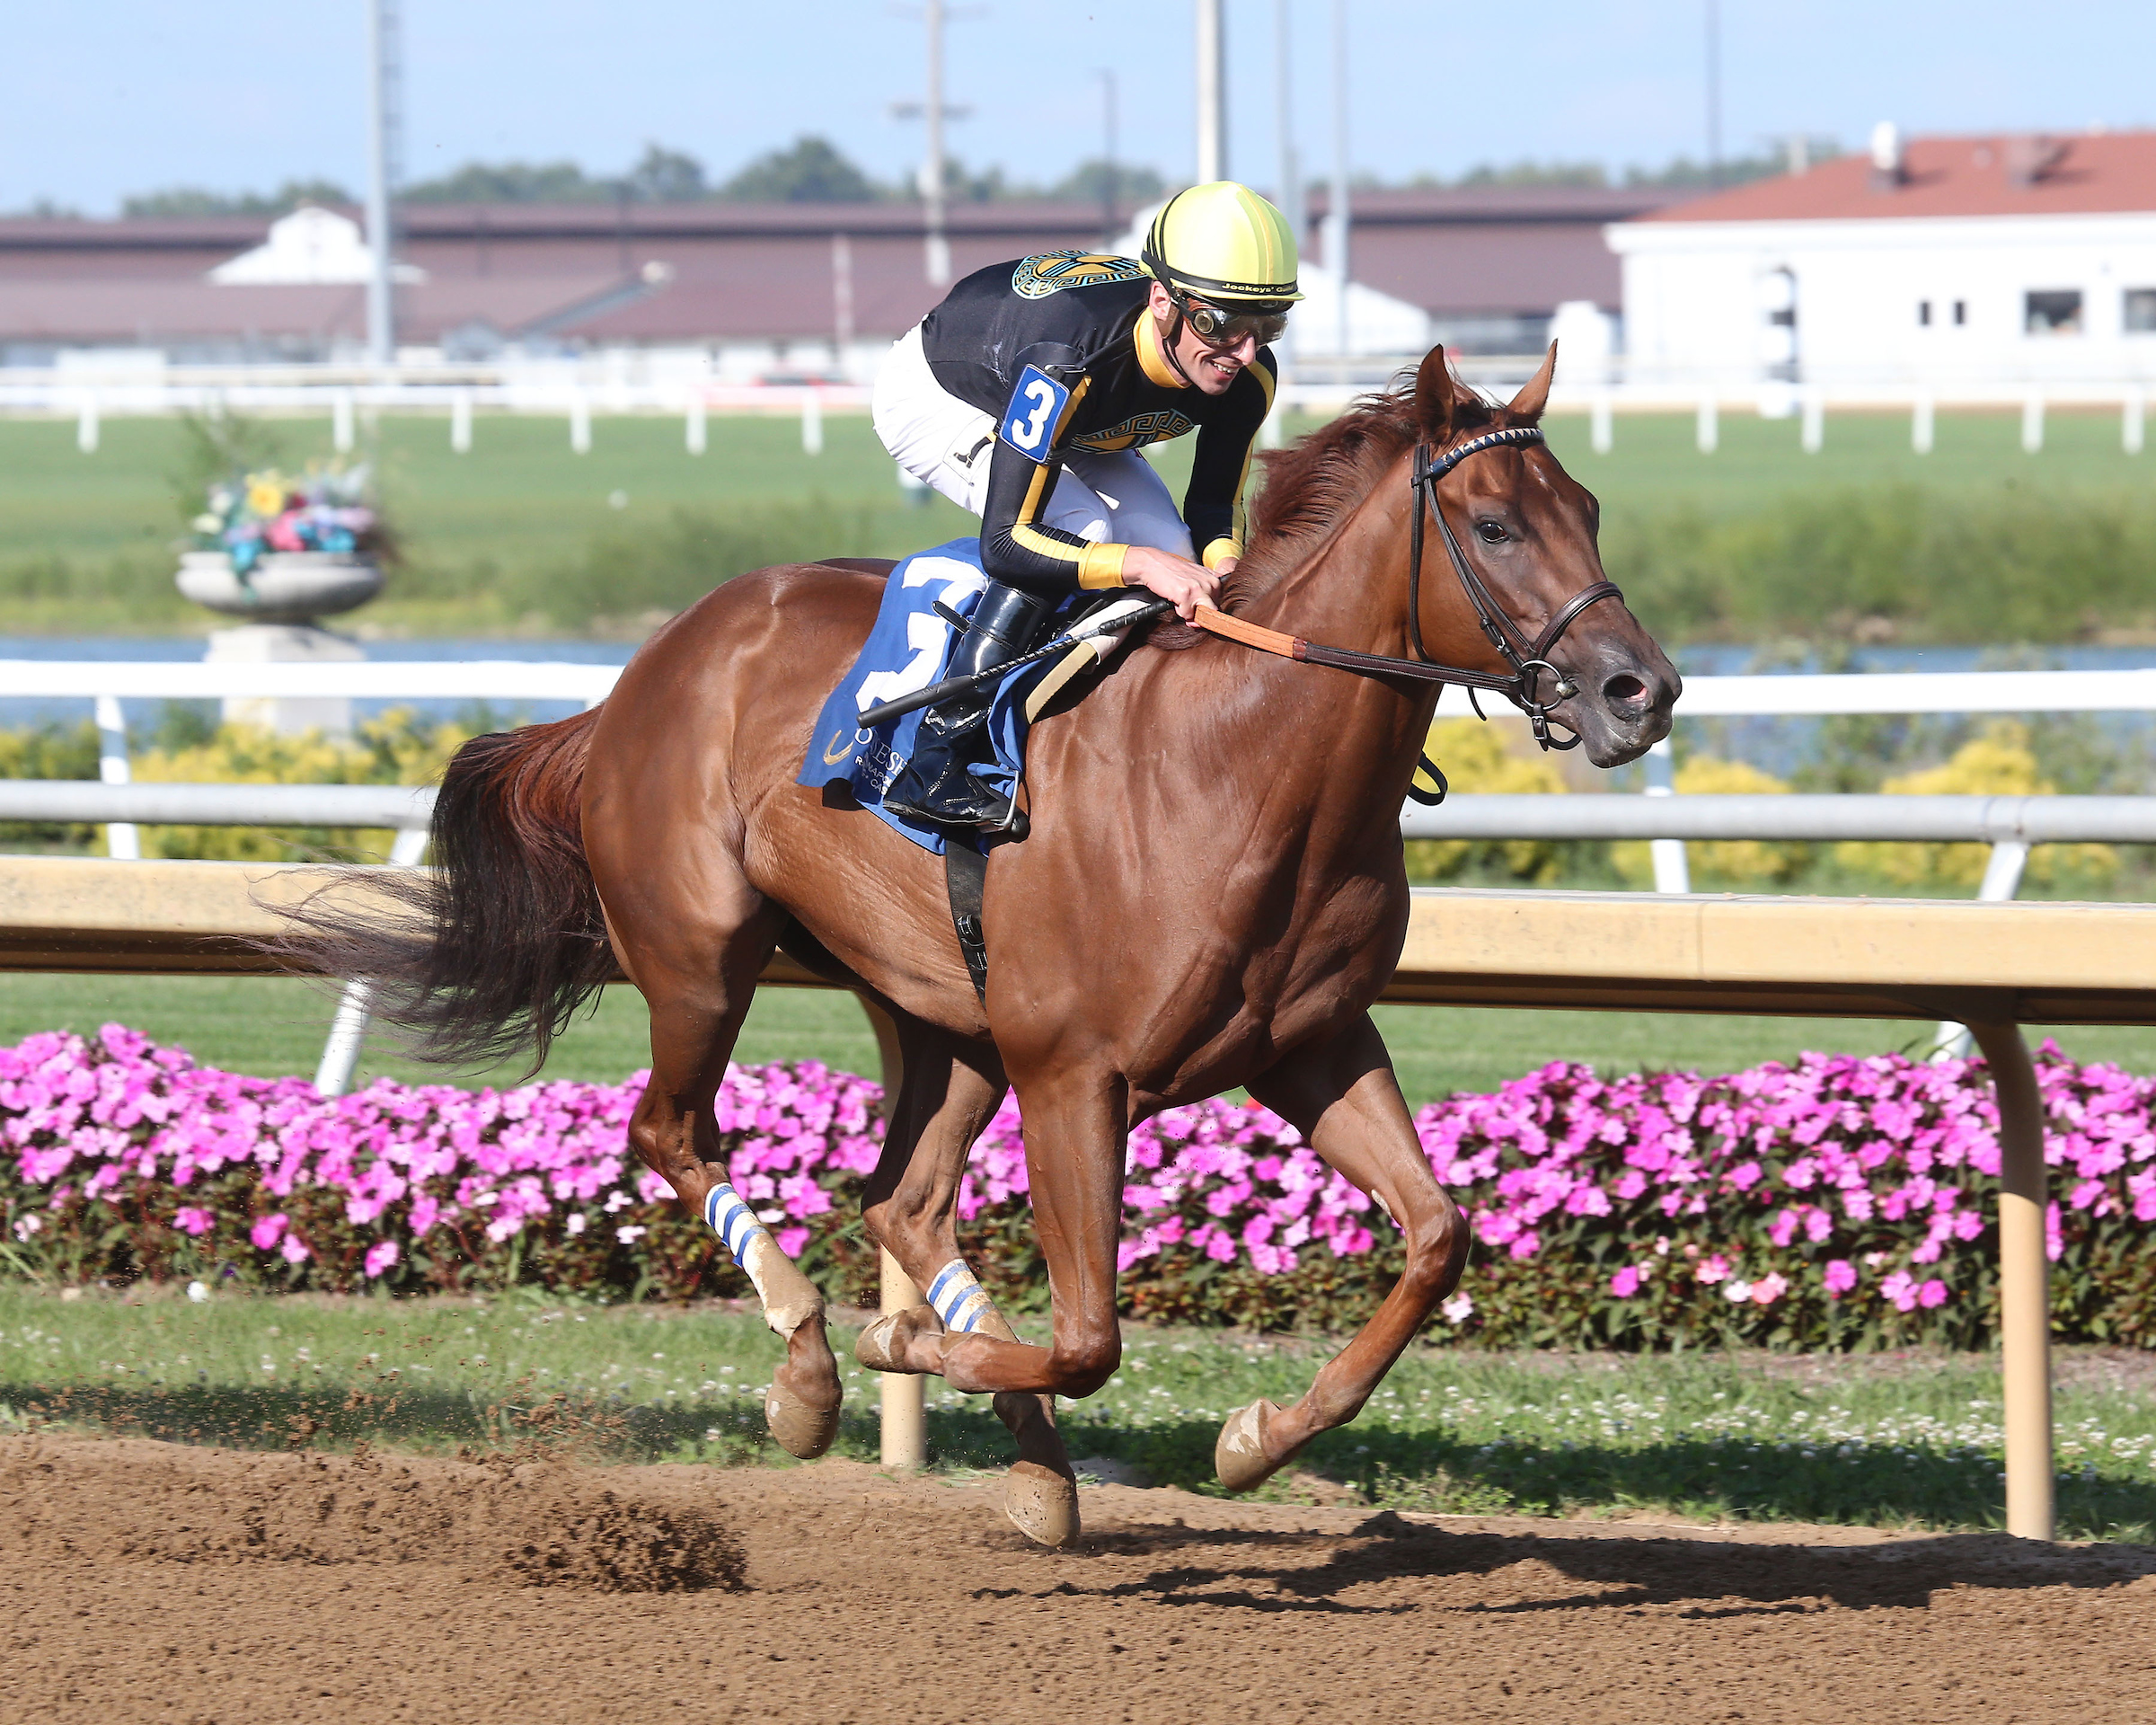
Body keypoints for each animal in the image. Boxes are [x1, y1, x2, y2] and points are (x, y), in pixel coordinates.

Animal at [302, 344, 1679, 1546]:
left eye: (1591, 508)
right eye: (1494, 526)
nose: (1644, 690)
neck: (1242, 768)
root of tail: (643, 671)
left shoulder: (1313, 1046)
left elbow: (1437, 1237)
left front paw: (1256, 1438)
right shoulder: (1075, 1072)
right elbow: (1088, 1338)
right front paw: (899, 1347)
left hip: (940, 1013)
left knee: (903, 1202)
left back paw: (1033, 1470)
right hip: (702, 959)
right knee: (674, 1134)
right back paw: (811, 1373)